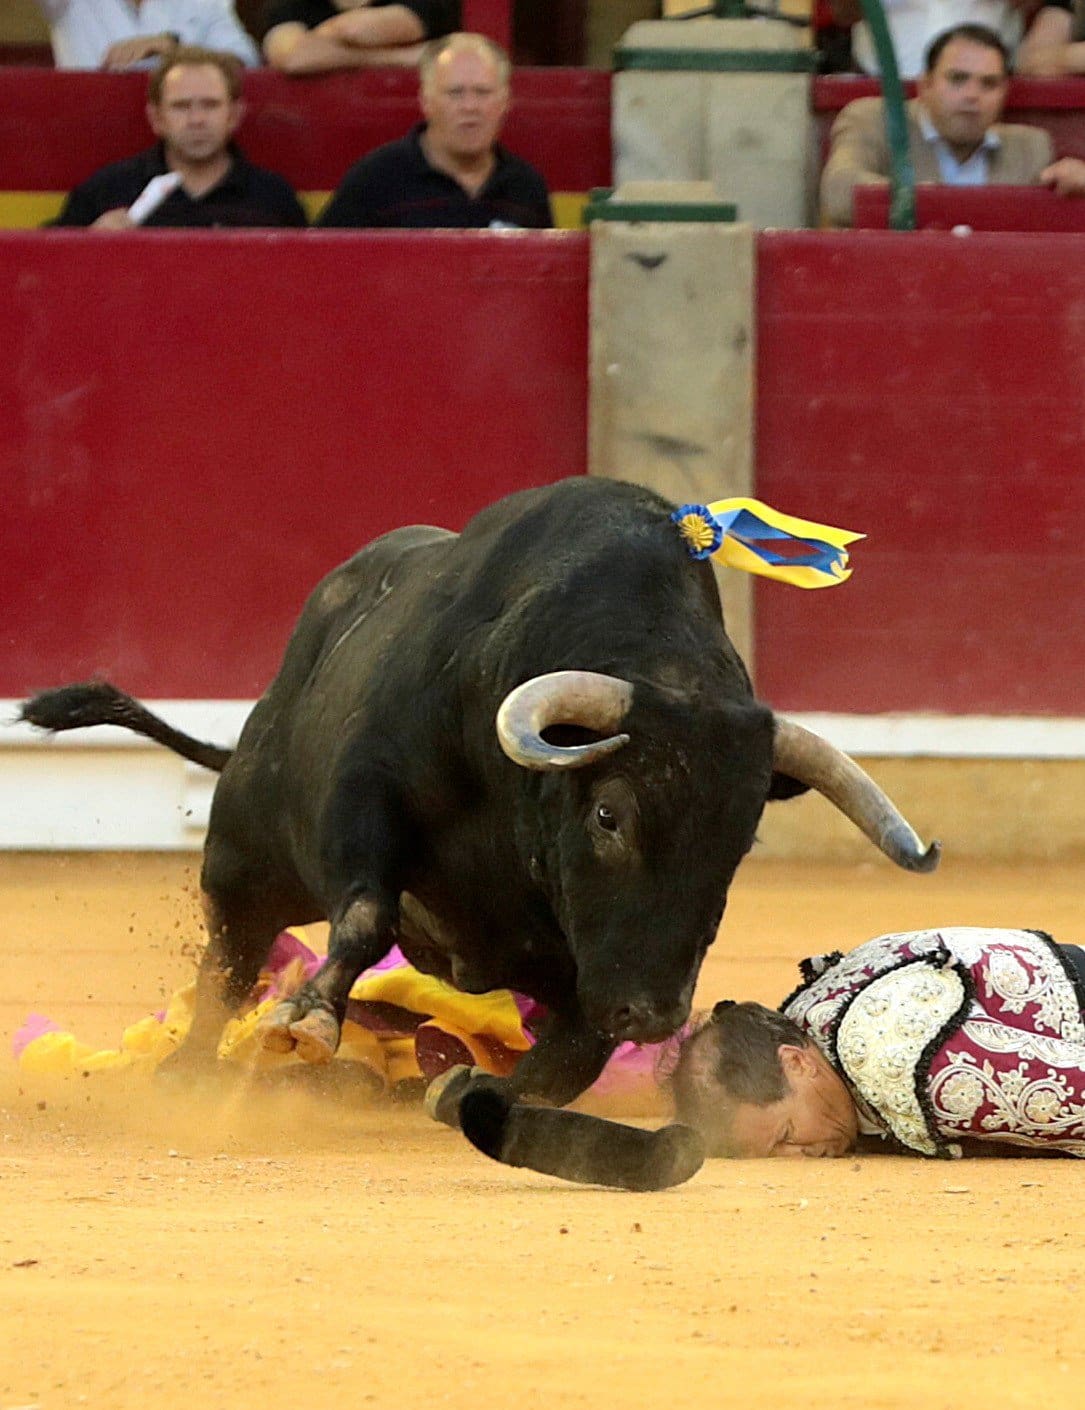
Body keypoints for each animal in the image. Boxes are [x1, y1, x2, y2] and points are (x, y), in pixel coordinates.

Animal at [21, 477, 938, 1189]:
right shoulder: (367, 794)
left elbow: (564, 1059)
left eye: (739, 839)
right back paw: (189, 1069)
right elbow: (364, 916)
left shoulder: (580, 971)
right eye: (608, 814)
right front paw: (308, 1019)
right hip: (247, 855)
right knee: (232, 954)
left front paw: (467, 1089)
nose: (651, 1014)